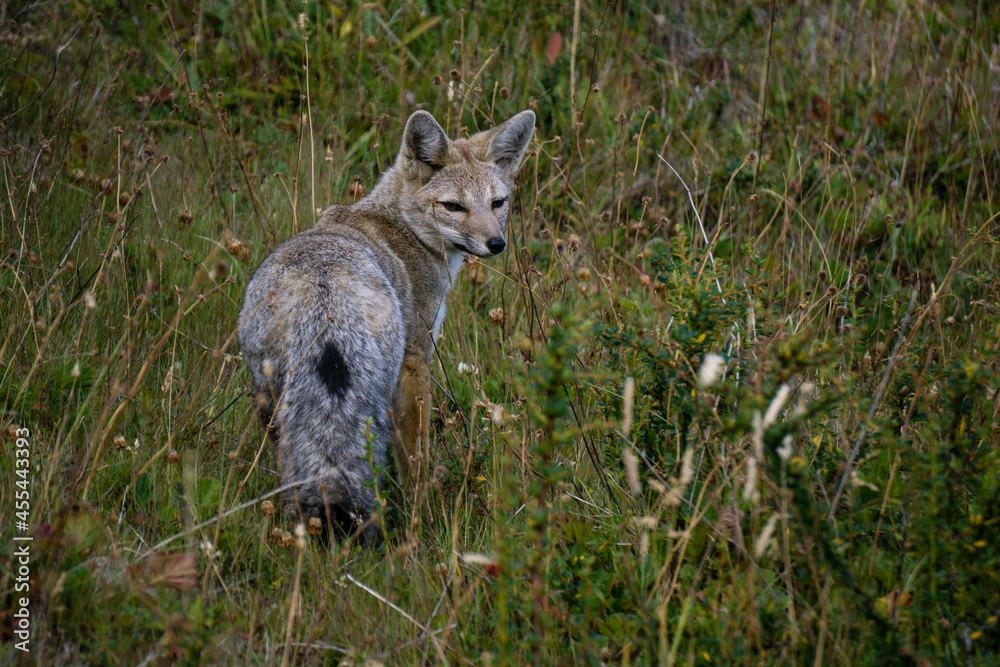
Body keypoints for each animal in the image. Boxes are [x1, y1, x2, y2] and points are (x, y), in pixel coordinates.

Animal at [239, 108, 535, 544]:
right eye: (454, 206)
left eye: (498, 203)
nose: (496, 244)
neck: (403, 229)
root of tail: (323, 288)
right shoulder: (416, 360)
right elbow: (415, 457)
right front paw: (422, 516)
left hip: (271, 405)